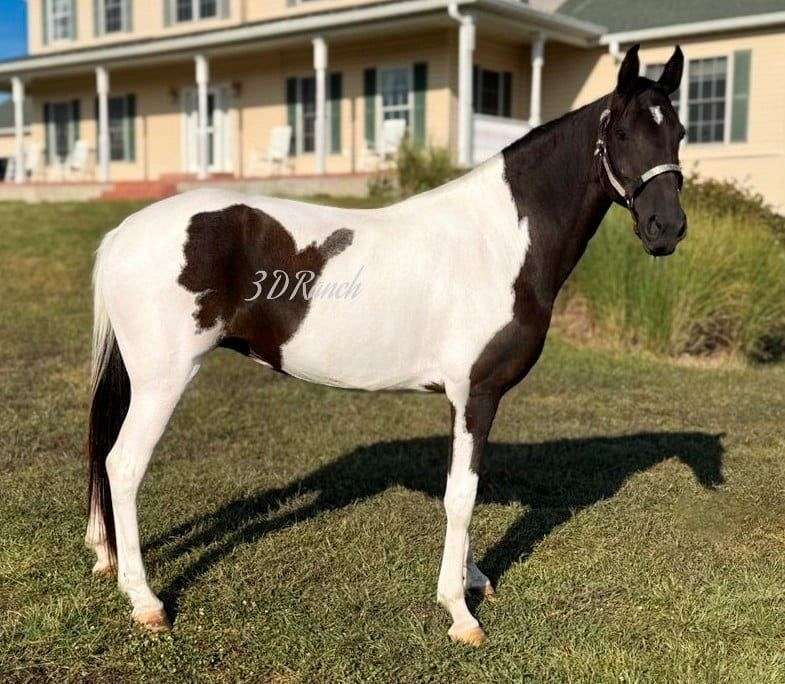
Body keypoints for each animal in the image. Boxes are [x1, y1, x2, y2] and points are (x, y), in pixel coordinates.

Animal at [86, 44, 686, 646]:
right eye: (624, 133)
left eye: (679, 131)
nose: (668, 229)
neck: (497, 240)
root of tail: (122, 233)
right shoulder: (478, 392)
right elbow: (461, 496)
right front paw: (460, 612)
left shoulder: (463, 397)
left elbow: (464, 483)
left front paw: (472, 577)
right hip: (164, 379)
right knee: (124, 466)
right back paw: (145, 602)